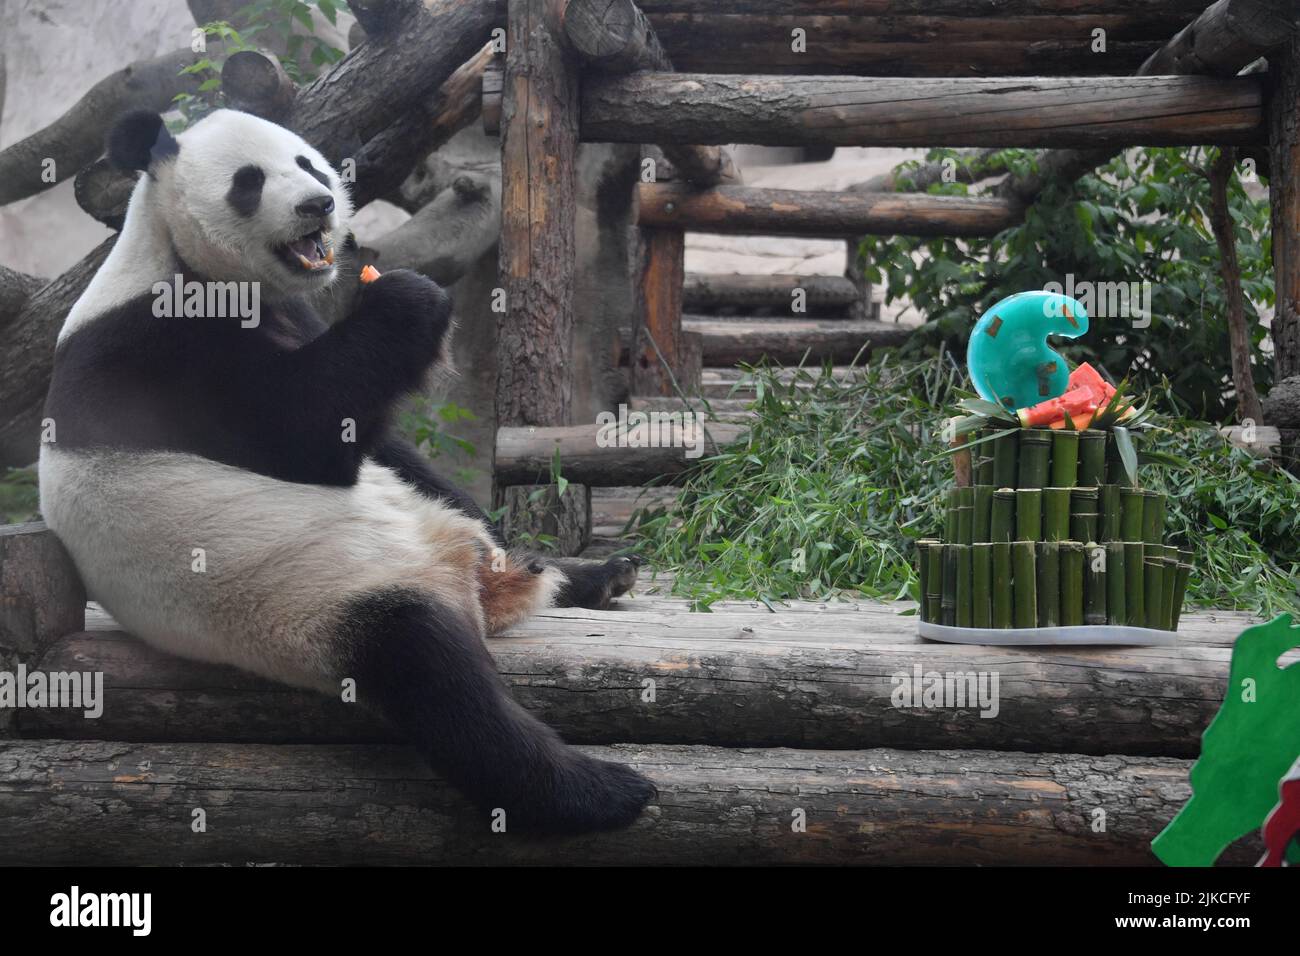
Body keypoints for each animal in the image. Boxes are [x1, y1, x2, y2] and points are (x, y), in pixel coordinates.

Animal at [39, 108, 655, 834]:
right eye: (249, 182)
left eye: (307, 164)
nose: (318, 205)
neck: (178, 256)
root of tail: (469, 582)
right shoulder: (160, 348)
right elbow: (301, 431)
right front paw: (409, 298)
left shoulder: (292, 313)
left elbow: (375, 438)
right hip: (324, 603)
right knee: (435, 677)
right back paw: (598, 790)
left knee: (469, 531)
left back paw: (593, 573)